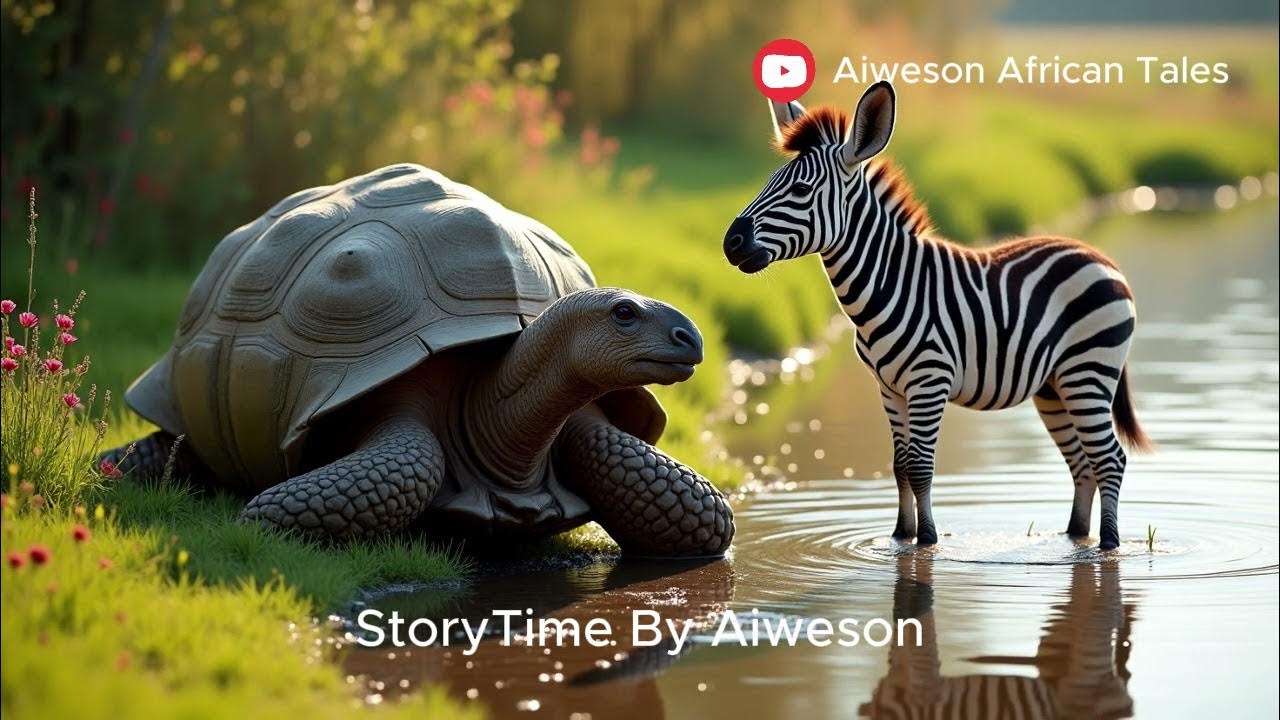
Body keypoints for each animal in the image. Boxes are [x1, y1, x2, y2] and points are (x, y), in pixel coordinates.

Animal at [722, 81, 1150, 550]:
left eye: (800, 190)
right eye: (768, 182)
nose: (730, 242)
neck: (888, 284)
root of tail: (1099, 256)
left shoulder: (930, 381)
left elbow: (921, 466)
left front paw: (926, 539)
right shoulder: (889, 388)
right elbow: (899, 466)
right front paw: (899, 536)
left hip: (1088, 371)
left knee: (1109, 458)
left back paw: (1108, 544)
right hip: (1055, 387)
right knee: (1082, 462)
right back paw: (1074, 537)